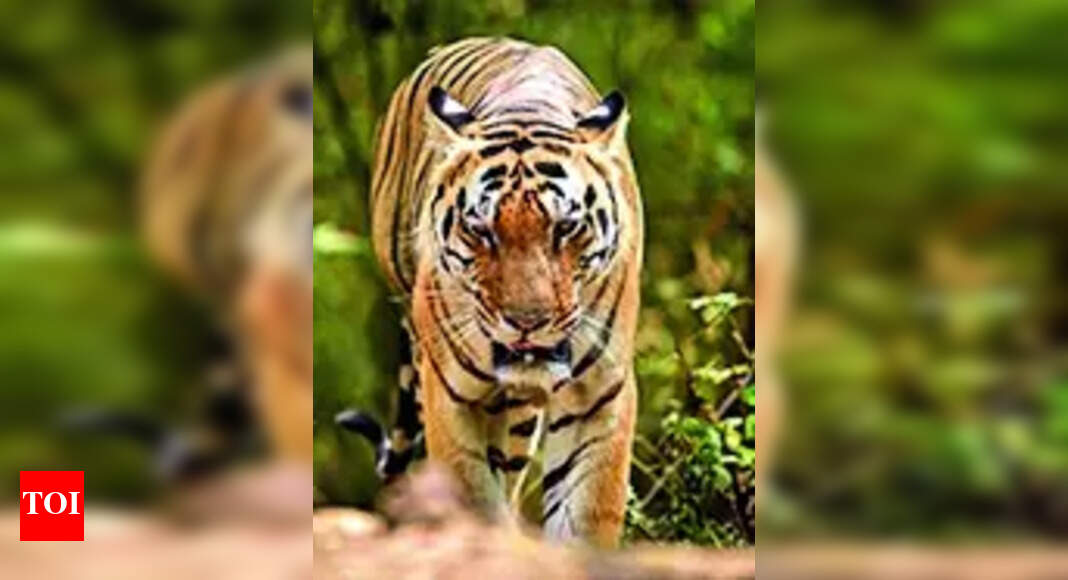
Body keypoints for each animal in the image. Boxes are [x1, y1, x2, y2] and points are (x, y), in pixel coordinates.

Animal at [362, 37, 643, 547]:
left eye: (565, 227)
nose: (527, 323)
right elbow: (470, 494)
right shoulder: (451, 396)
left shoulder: (599, 396)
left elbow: (586, 515)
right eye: (481, 230)